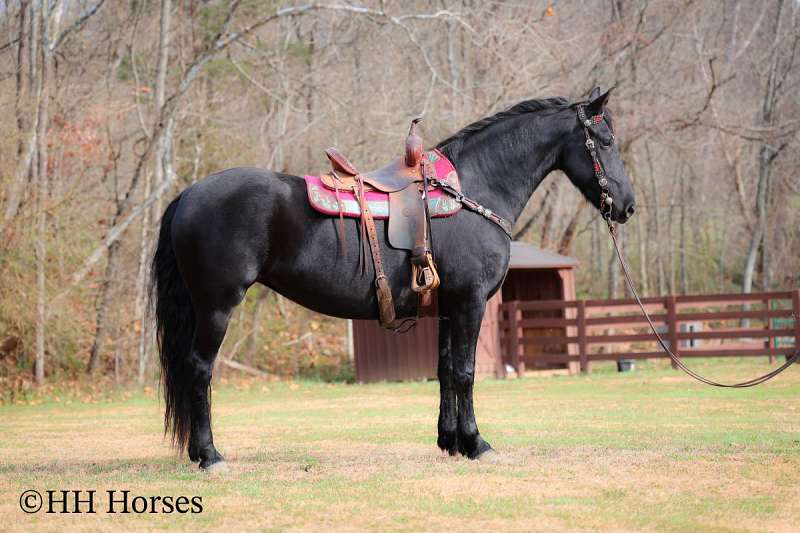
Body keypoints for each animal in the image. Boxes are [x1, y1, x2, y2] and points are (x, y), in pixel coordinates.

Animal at [151, 87, 635, 470]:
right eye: (606, 140)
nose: (627, 206)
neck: (473, 190)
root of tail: (188, 194)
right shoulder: (471, 302)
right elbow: (465, 373)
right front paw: (477, 443)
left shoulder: (447, 308)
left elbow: (445, 371)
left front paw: (450, 441)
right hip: (217, 306)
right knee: (199, 370)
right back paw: (209, 455)